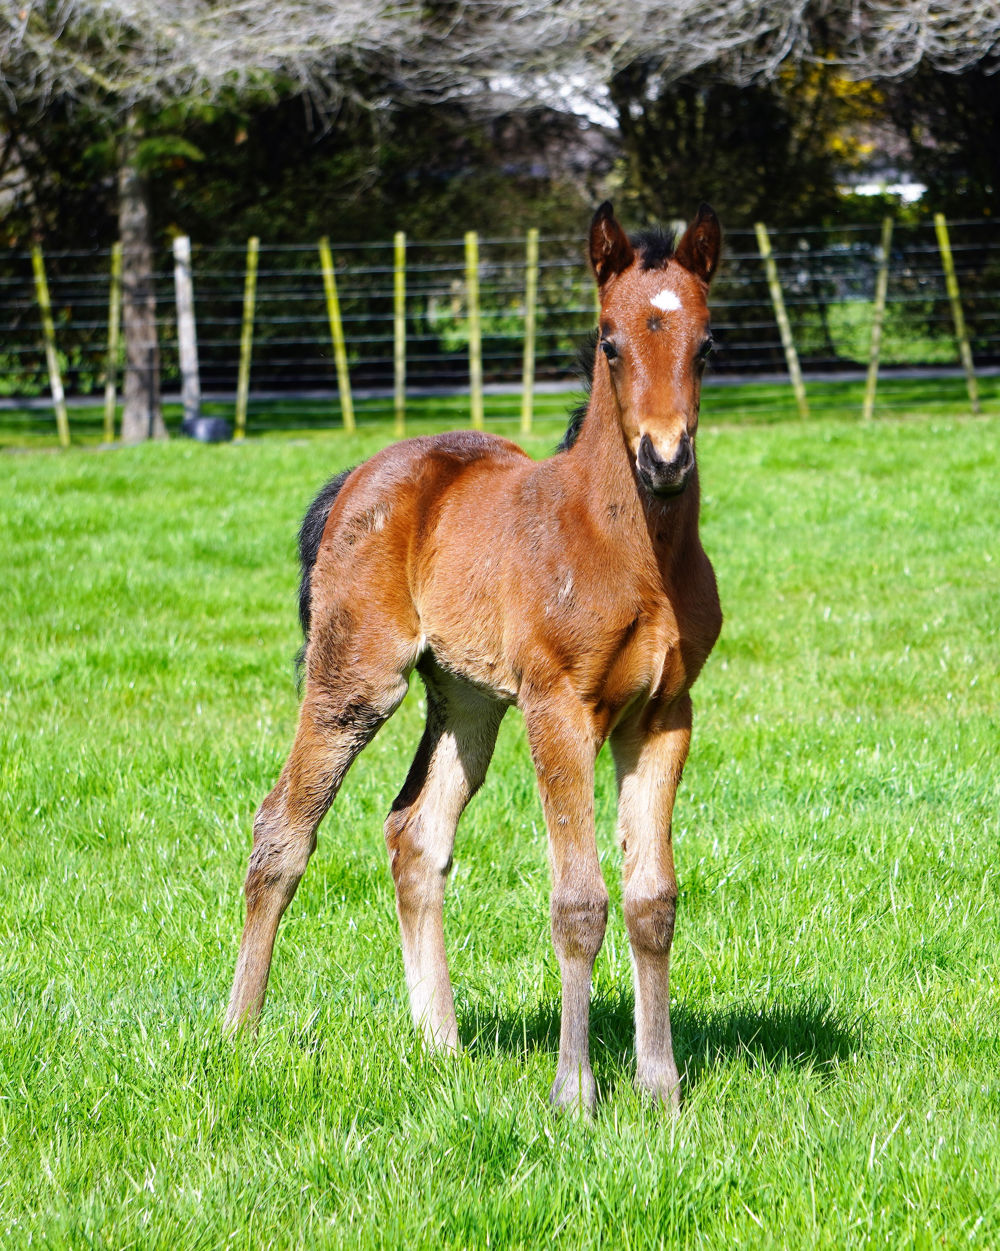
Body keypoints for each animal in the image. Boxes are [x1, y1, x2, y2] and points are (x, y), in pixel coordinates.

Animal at [225, 202, 723, 1114]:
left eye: (706, 344)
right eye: (609, 341)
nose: (665, 458)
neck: (632, 551)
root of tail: (363, 472)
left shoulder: (664, 715)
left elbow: (652, 899)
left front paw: (662, 1090)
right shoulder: (559, 708)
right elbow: (579, 901)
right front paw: (575, 1092)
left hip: (468, 700)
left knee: (414, 834)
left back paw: (441, 1042)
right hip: (357, 678)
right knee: (283, 827)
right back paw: (238, 1029)